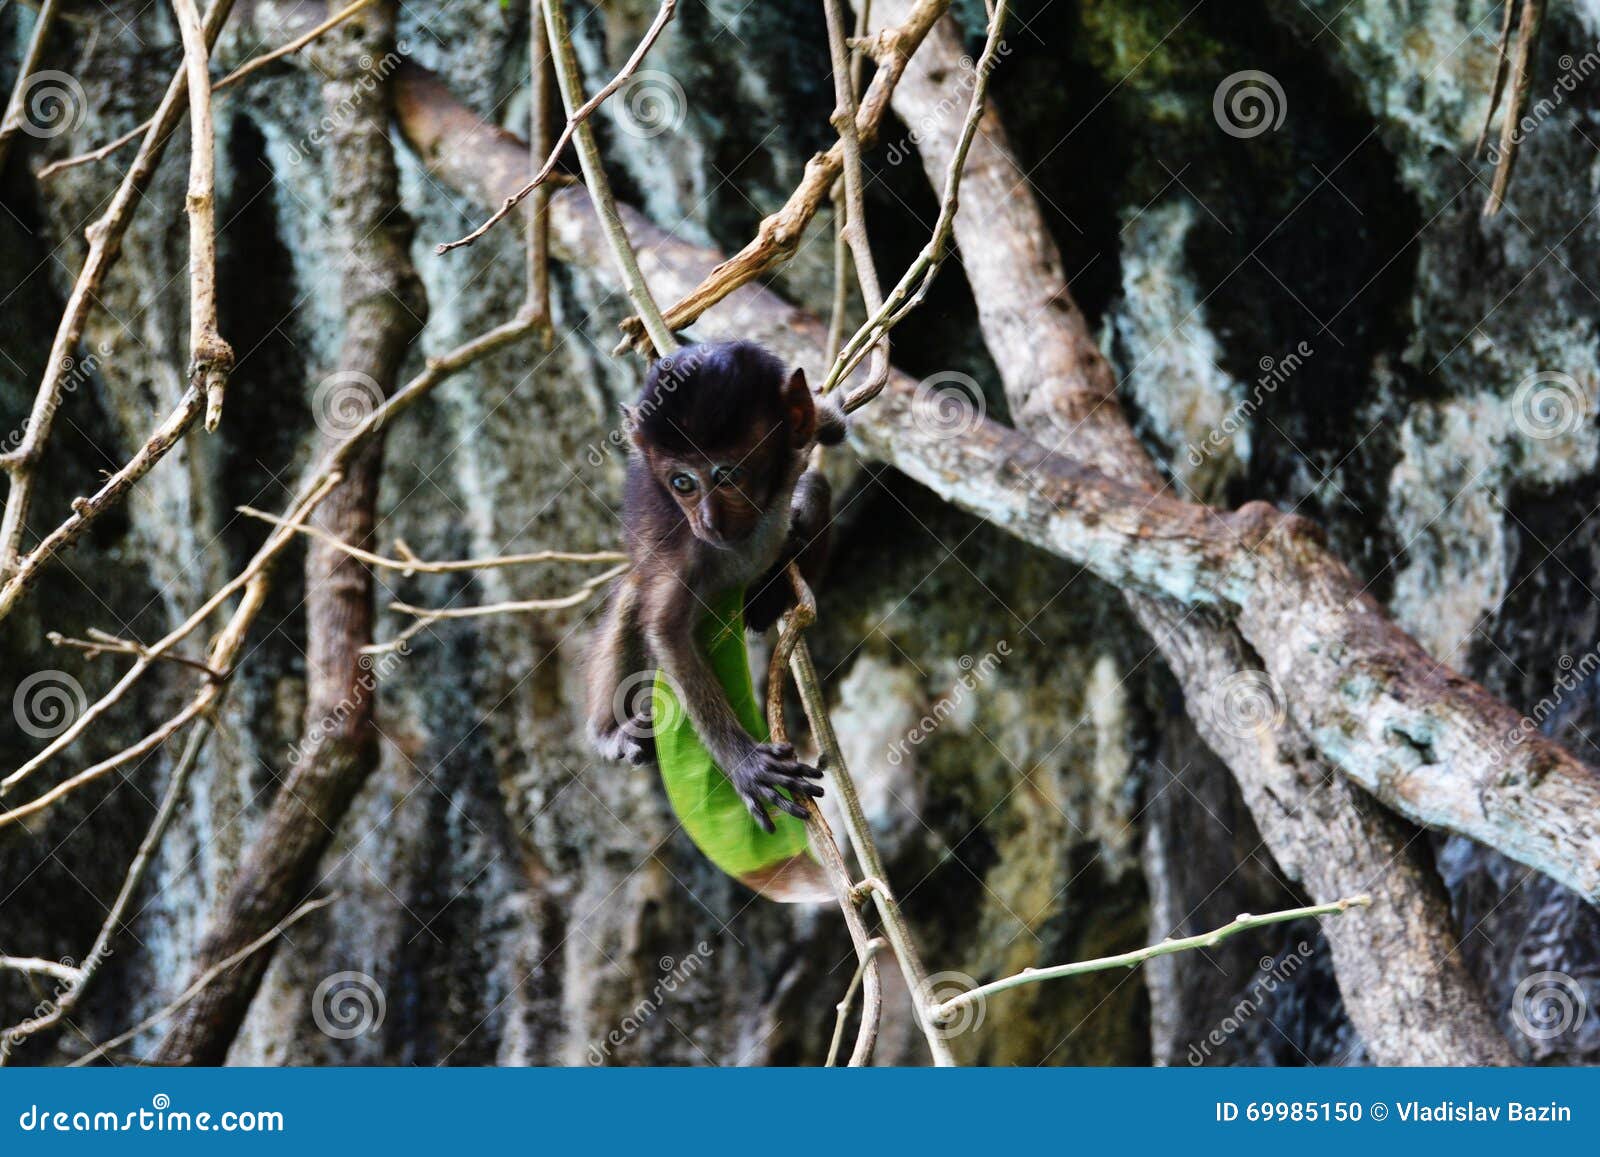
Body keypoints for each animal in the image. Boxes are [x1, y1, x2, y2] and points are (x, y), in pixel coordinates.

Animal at [585, 340, 847, 832]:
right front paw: (745, 763)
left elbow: (827, 428)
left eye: (728, 475)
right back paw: (611, 734)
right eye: (682, 482)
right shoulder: (686, 553)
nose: (707, 520)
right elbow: (666, 630)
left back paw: (772, 592)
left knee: (819, 487)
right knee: (633, 596)